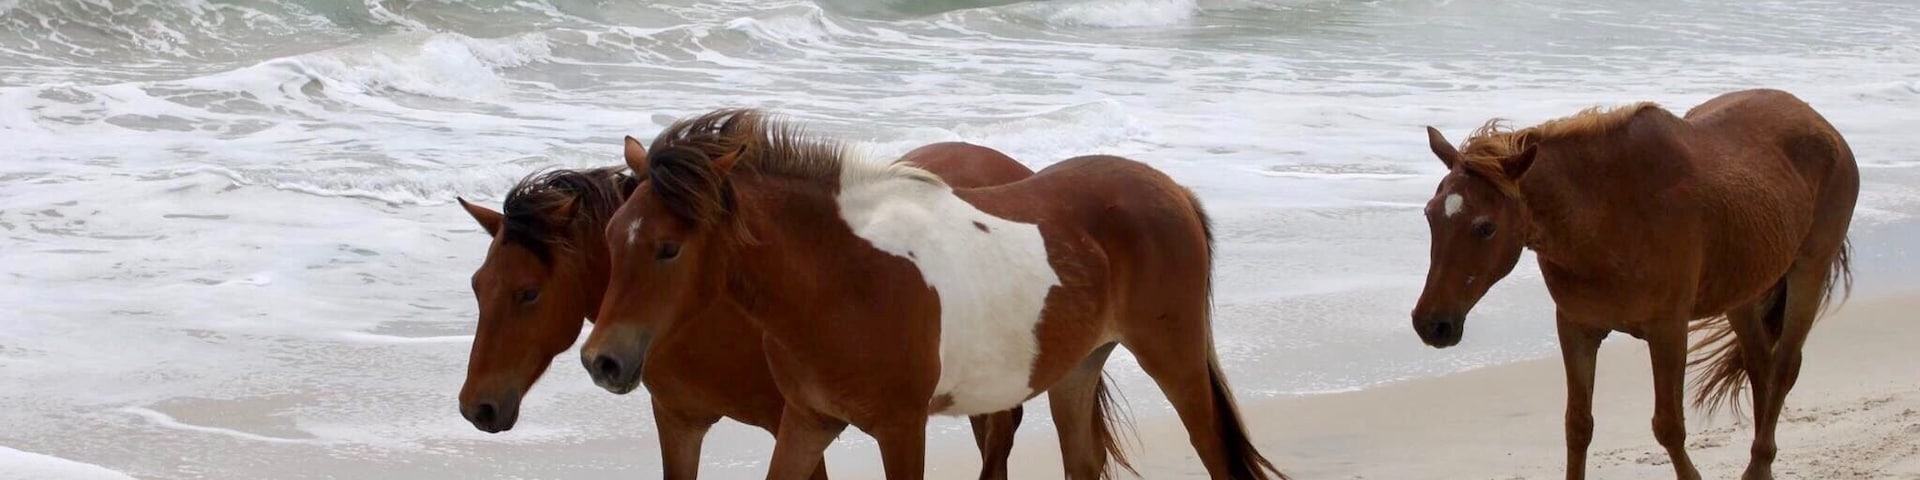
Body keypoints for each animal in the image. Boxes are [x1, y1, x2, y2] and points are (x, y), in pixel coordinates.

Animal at [580, 108, 1285, 480]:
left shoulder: (900, 427)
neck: (839, 278)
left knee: (1216, 455)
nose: (602, 361)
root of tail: (1171, 189)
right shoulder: (808, 420)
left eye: (668, 248)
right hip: (1077, 370)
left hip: (1175, 358)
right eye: (611, 238)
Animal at [1410, 88, 1857, 480]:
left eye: (1485, 228)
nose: (1432, 324)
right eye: (1430, 214)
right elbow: (1578, 425)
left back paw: (1758, 464)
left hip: (1808, 271)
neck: (1607, 215)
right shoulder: (1576, 328)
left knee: (1783, 368)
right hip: (1742, 291)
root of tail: (1824, 126)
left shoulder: (1668, 331)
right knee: (1760, 364)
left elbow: (1669, 425)